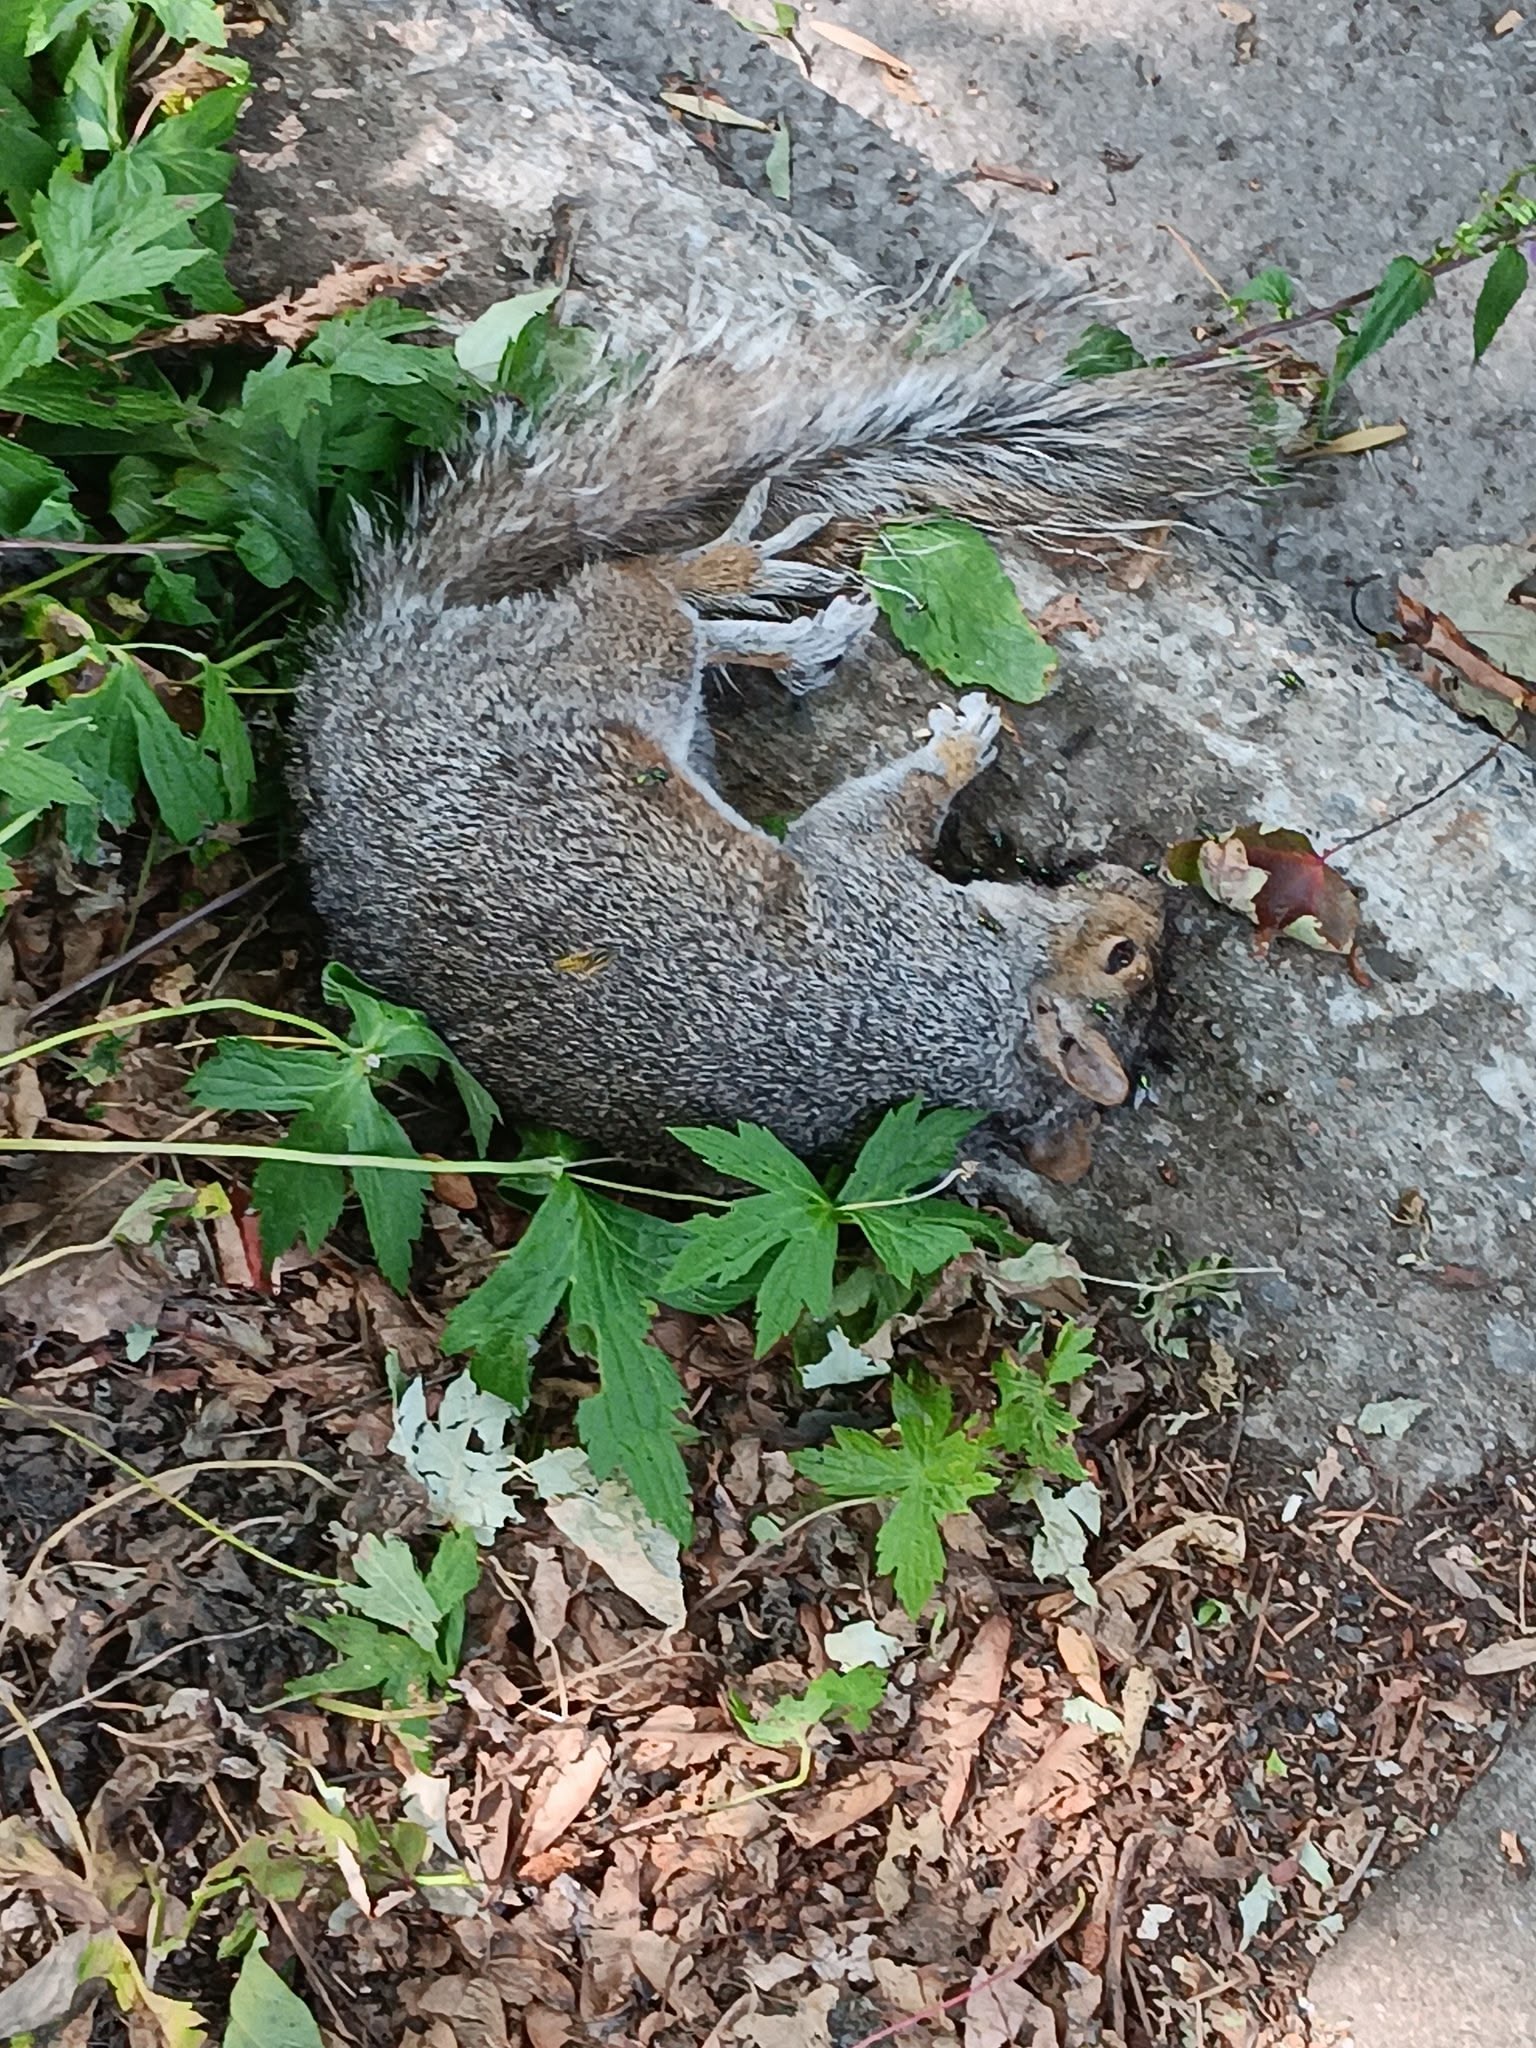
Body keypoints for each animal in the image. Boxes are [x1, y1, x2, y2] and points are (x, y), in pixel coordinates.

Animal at [293, 319, 1256, 1174]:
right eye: (1128, 961)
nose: (1150, 896)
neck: (983, 1020)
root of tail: (364, 673)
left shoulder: (883, 913)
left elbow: (860, 819)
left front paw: (954, 753)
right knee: (660, 597)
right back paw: (761, 594)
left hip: (624, 660)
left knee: (640, 591)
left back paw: (754, 596)